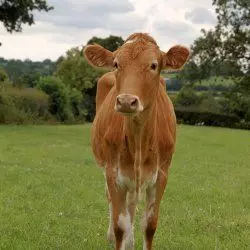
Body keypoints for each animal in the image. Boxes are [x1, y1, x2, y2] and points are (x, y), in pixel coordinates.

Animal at [83, 33, 189, 250]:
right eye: (116, 64)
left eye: (154, 65)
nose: (125, 101)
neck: (139, 140)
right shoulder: (113, 173)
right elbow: (119, 225)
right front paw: (119, 237)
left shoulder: (162, 174)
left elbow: (150, 225)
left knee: (131, 206)